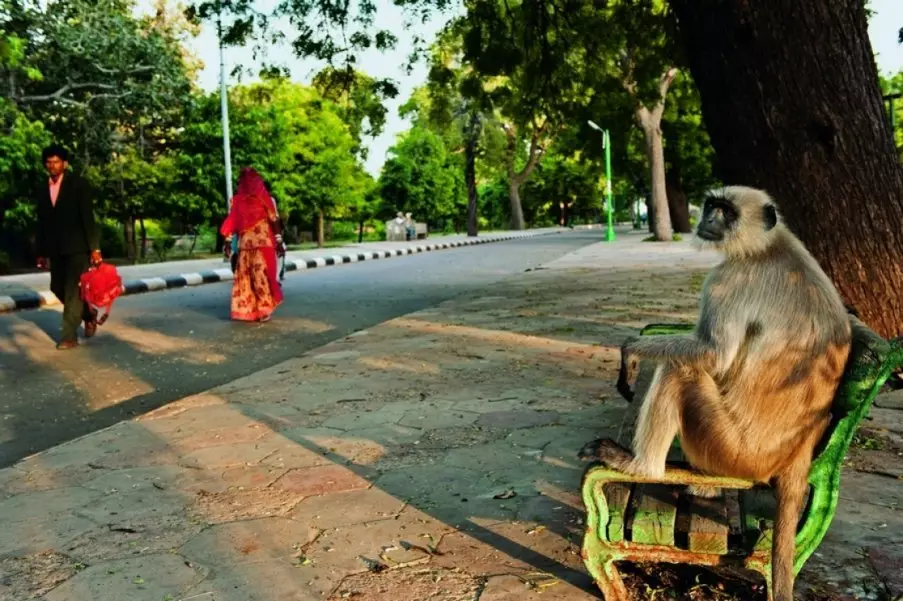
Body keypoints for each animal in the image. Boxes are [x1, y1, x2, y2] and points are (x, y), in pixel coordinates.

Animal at [588, 185, 852, 600]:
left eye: (726, 212)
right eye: (712, 205)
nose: (708, 218)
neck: (767, 246)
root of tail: (797, 452)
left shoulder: (729, 279)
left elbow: (713, 354)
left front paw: (632, 350)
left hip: (728, 446)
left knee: (680, 369)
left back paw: (641, 466)